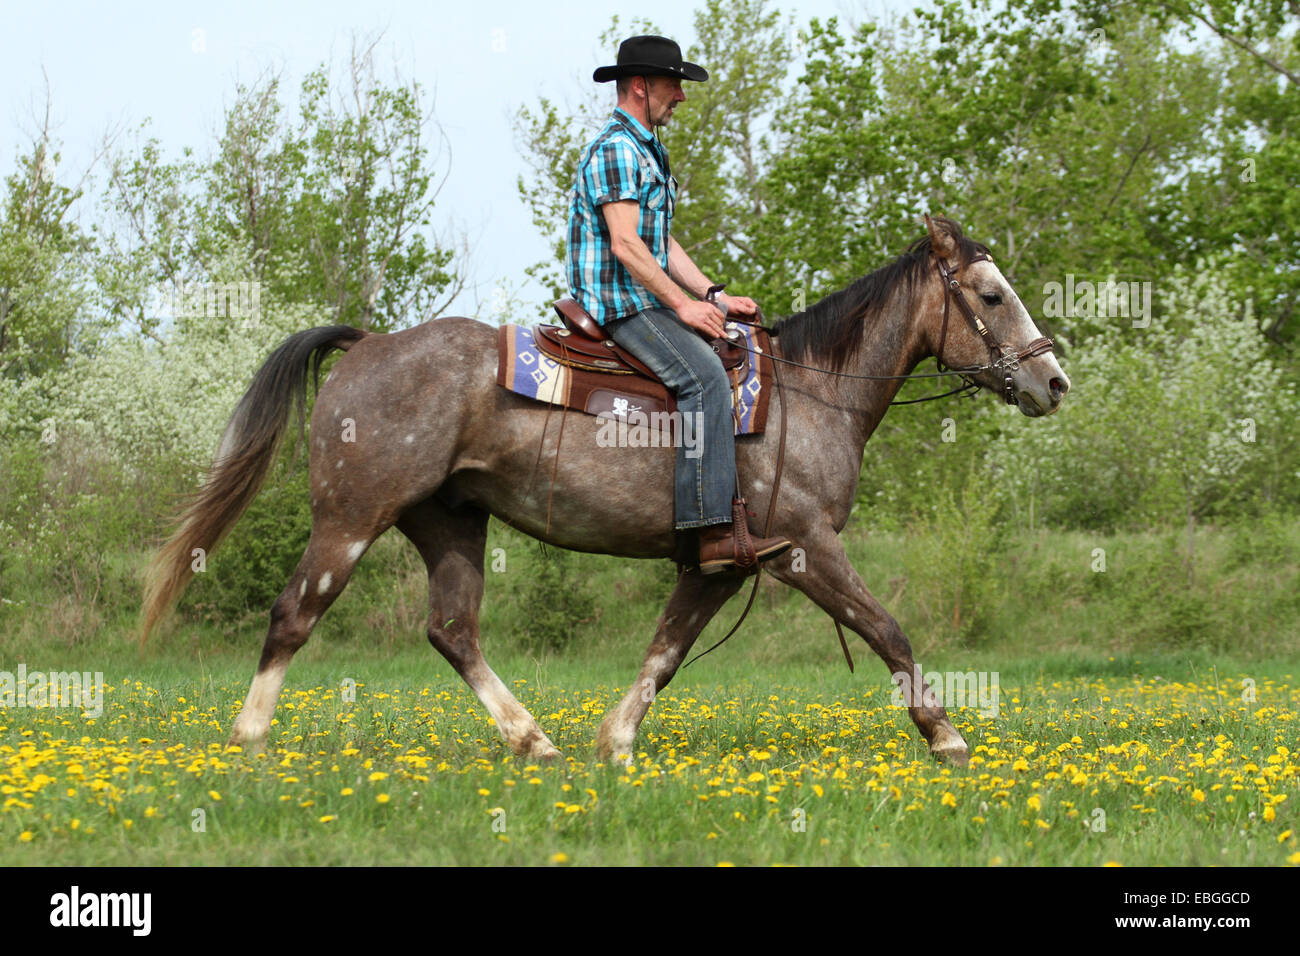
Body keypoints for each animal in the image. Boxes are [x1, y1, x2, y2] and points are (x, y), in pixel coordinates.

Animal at [141, 215, 1069, 768]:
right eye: (992, 295)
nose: (1053, 381)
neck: (813, 393)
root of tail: (367, 345)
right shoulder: (807, 547)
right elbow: (888, 631)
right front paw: (946, 735)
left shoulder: (722, 561)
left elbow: (666, 649)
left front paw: (614, 741)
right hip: (352, 517)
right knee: (294, 613)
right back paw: (250, 740)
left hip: (449, 522)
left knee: (452, 631)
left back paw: (535, 741)